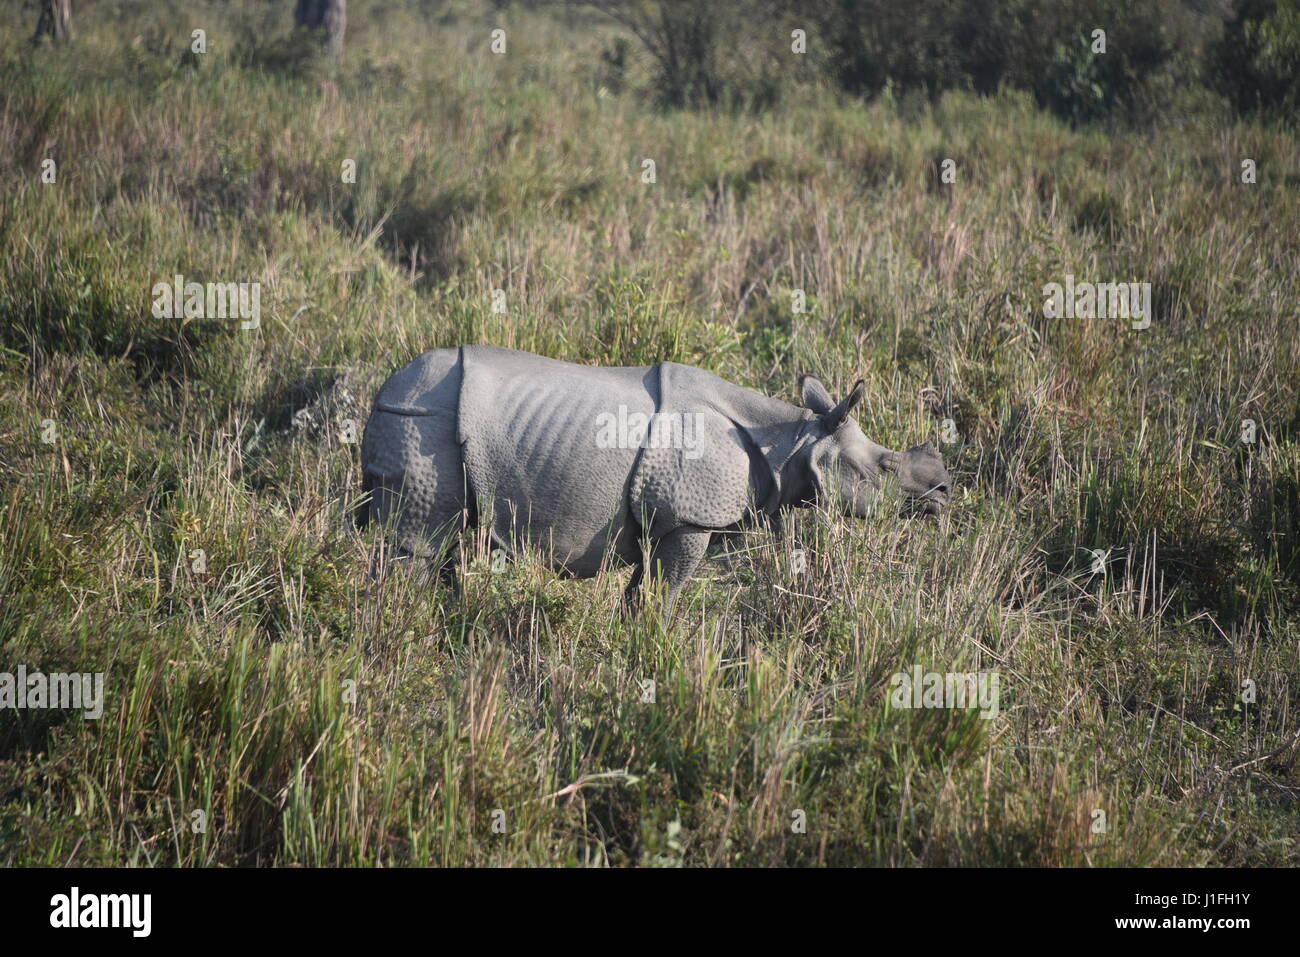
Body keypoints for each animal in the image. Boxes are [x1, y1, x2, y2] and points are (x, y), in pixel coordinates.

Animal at [358, 345, 951, 613]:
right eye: (886, 468)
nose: (943, 491)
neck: (793, 439)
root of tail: (381, 392)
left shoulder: (666, 521)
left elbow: (642, 589)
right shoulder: (688, 518)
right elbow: (664, 591)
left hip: (421, 419)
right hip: (422, 420)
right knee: (418, 543)